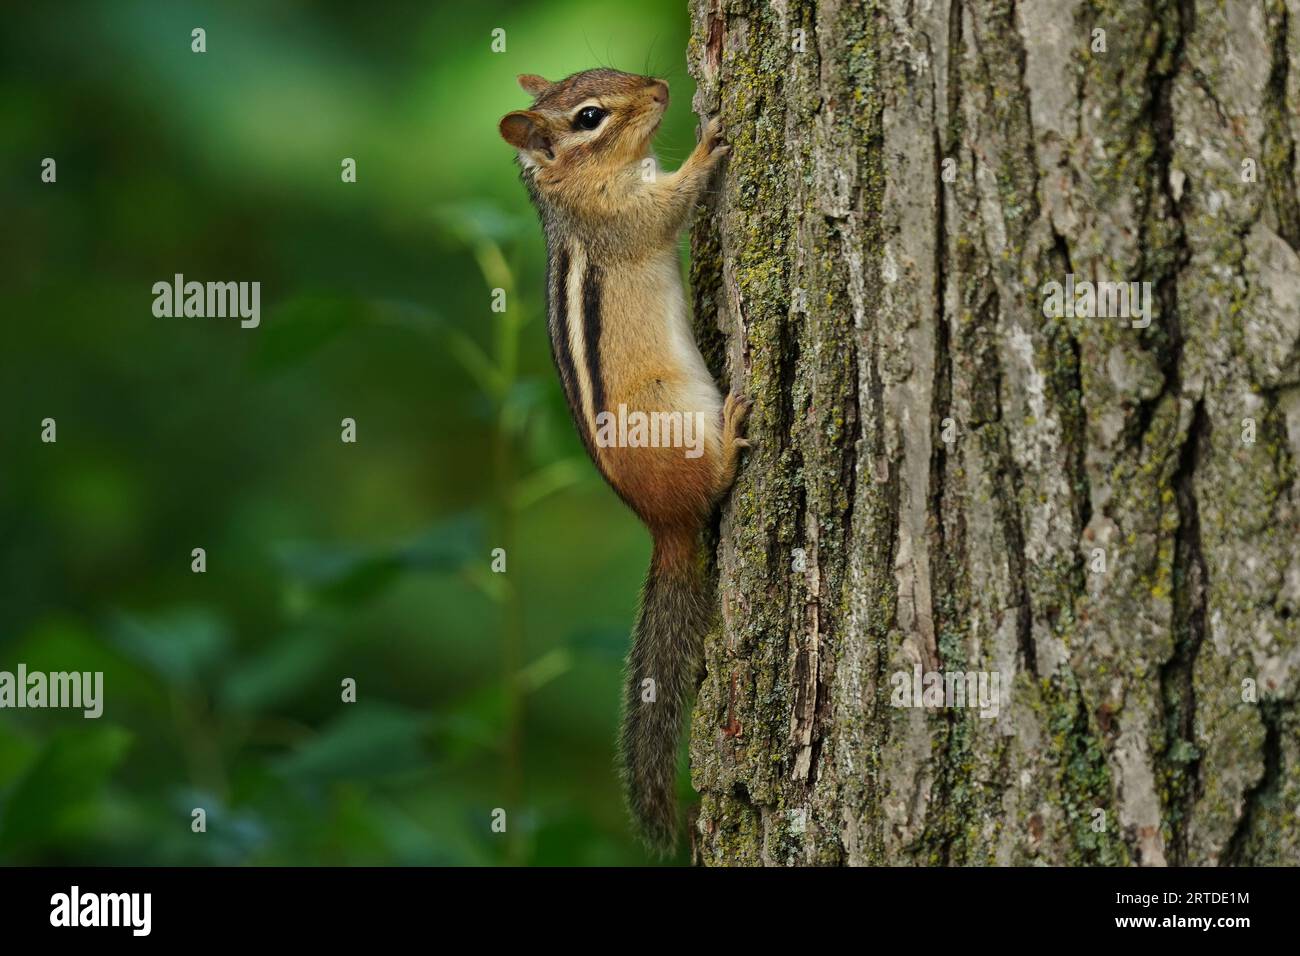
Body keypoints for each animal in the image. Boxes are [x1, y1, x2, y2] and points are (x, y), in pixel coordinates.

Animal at [499, 68, 750, 852]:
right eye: (589, 117)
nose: (664, 85)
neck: (575, 187)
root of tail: (660, 526)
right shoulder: (623, 217)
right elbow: (668, 209)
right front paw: (708, 145)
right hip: (674, 419)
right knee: (712, 485)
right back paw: (734, 432)